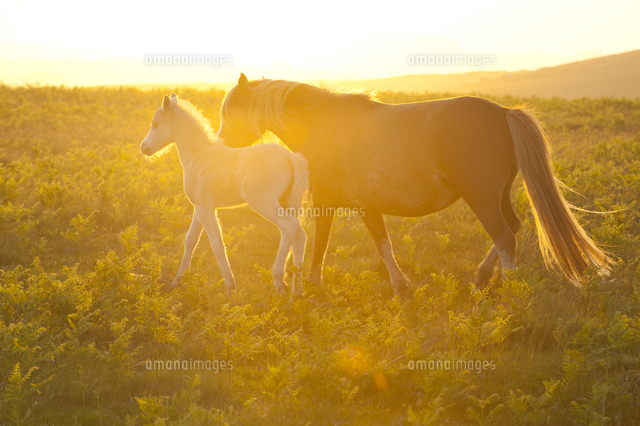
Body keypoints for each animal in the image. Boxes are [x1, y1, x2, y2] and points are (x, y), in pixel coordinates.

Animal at [140, 93, 309, 296]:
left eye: (156, 124)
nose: (144, 148)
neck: (199, 157)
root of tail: (290, 157)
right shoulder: (201, 207)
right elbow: (190, 240)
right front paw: (176, 282)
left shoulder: (206, 209)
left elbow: (217, 244)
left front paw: (230, 287)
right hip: (285, 203)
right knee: (300, 235)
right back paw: (296, 294)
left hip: (264, 203)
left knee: (289, 227)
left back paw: (279, 279)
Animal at [217, 74, 610, 298]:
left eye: (230, 110)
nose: (221, 143)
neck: (322, 125)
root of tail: (503, 113)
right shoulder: (367, 206)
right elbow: (383, 245)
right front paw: (402, 288)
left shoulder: (326, 200)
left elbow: (322, 244)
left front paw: (313, 285)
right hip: (498, 195)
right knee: (511, 228)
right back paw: (482, 278)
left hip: (482, 197)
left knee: (505, 237)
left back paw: (508, 292)